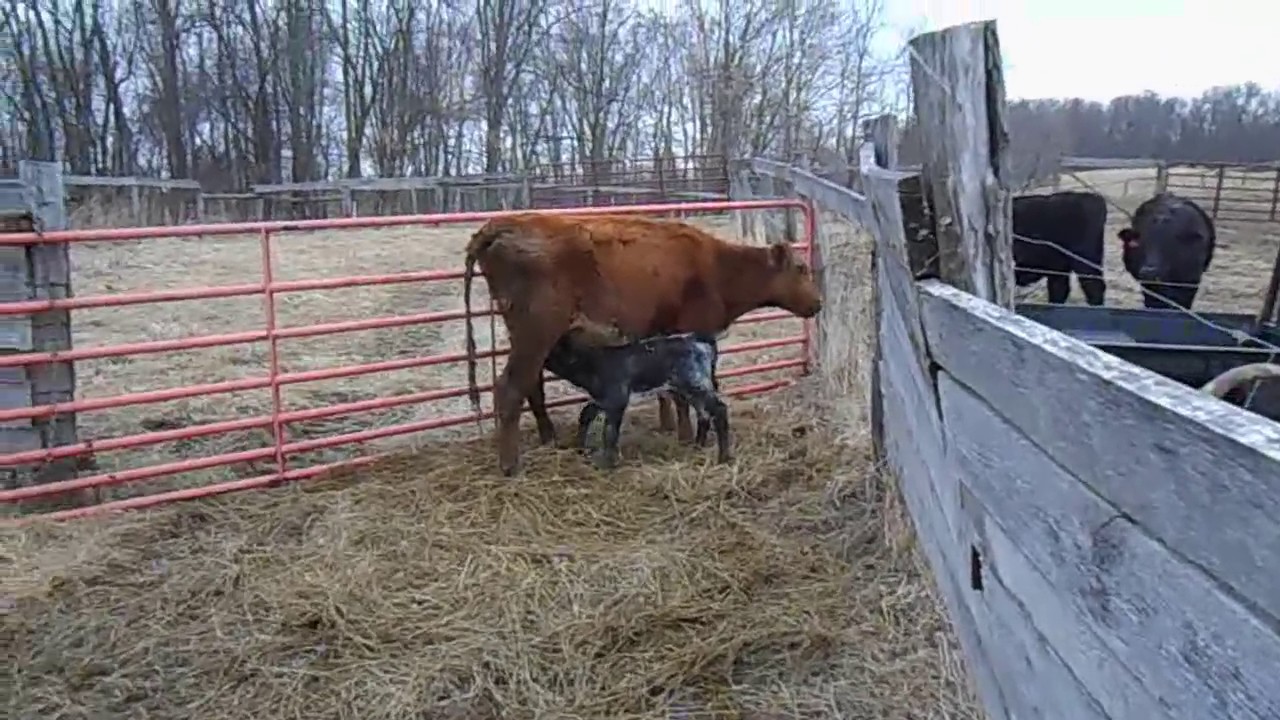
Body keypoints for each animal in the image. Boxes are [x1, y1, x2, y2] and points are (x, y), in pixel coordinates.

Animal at [543, 331, 729, 469]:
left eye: (553, 349)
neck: (593, 364)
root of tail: (698, 339)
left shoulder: (617, 399)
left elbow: (610, 431)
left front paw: (608, 462)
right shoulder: (603, 400)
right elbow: (586, 413)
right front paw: (582, 448)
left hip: (695, 382)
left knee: (719, 409)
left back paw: (723, 458)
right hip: (689, 388)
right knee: (704, 413)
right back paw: (698, 446)